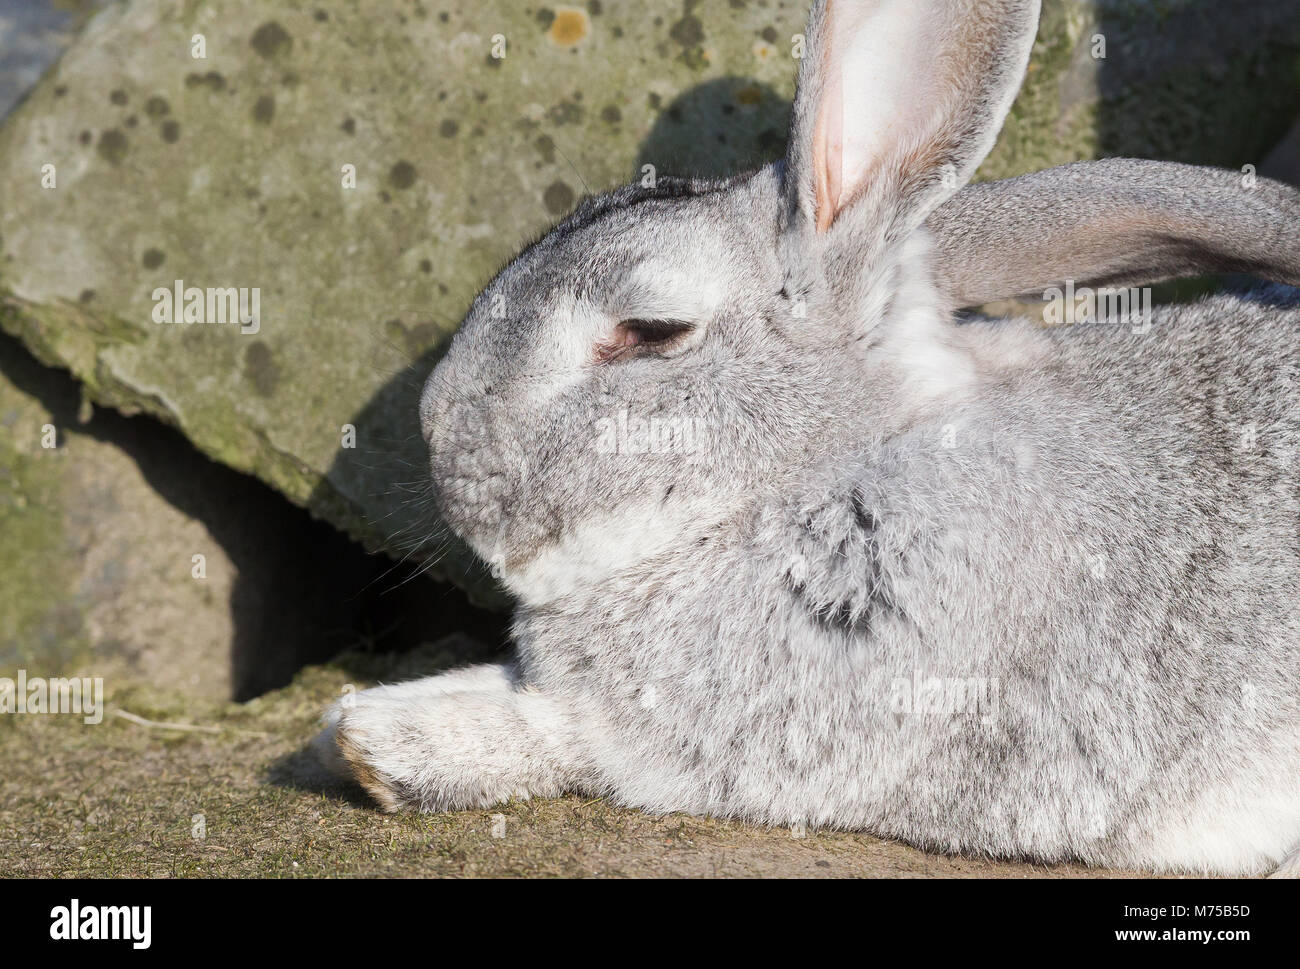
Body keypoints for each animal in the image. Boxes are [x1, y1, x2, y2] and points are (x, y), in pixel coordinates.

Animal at [316, 0, 1300, 876]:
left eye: (651, 330)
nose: (436, 428)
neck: (828, 462)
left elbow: (570, 738)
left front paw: (382, 742)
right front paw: (352, 723)